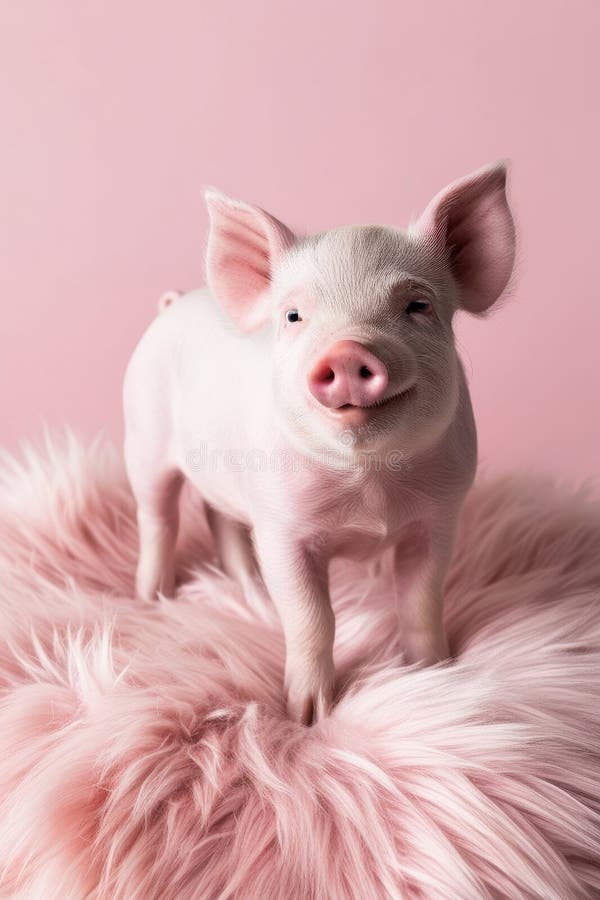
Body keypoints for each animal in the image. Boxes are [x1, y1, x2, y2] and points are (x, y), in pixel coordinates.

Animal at [123, 162, 516, 725]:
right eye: (293, 316)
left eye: (417, 305)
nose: (348, 350)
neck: (369, 481)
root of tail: (173, 305)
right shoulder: (283, 528)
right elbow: (313, 618)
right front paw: (308, 715)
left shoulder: (441, 516)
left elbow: (421, 601)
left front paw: (431, 675)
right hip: (143, 439)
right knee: (159, 516)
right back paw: (154, 596)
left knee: (221, 517)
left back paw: (247, 586)